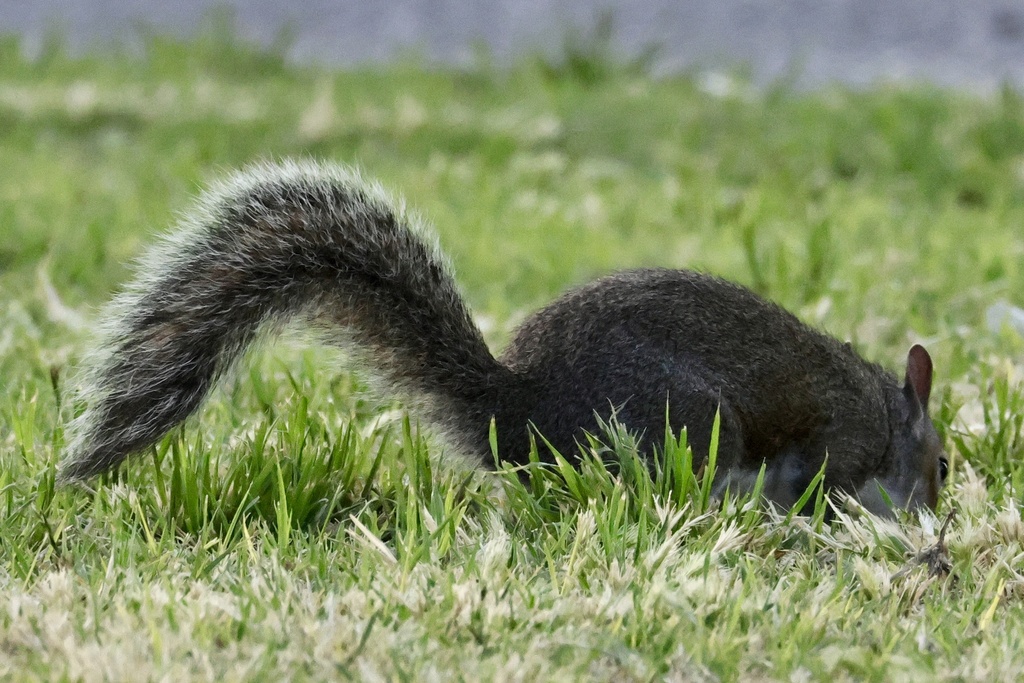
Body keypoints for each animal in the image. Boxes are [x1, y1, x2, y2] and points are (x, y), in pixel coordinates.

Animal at [61, 160, 948, 516]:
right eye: (941, 463)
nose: (937, 510)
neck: (880, 407)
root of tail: (518, 411)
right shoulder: (832, 437)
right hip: (688, 421)